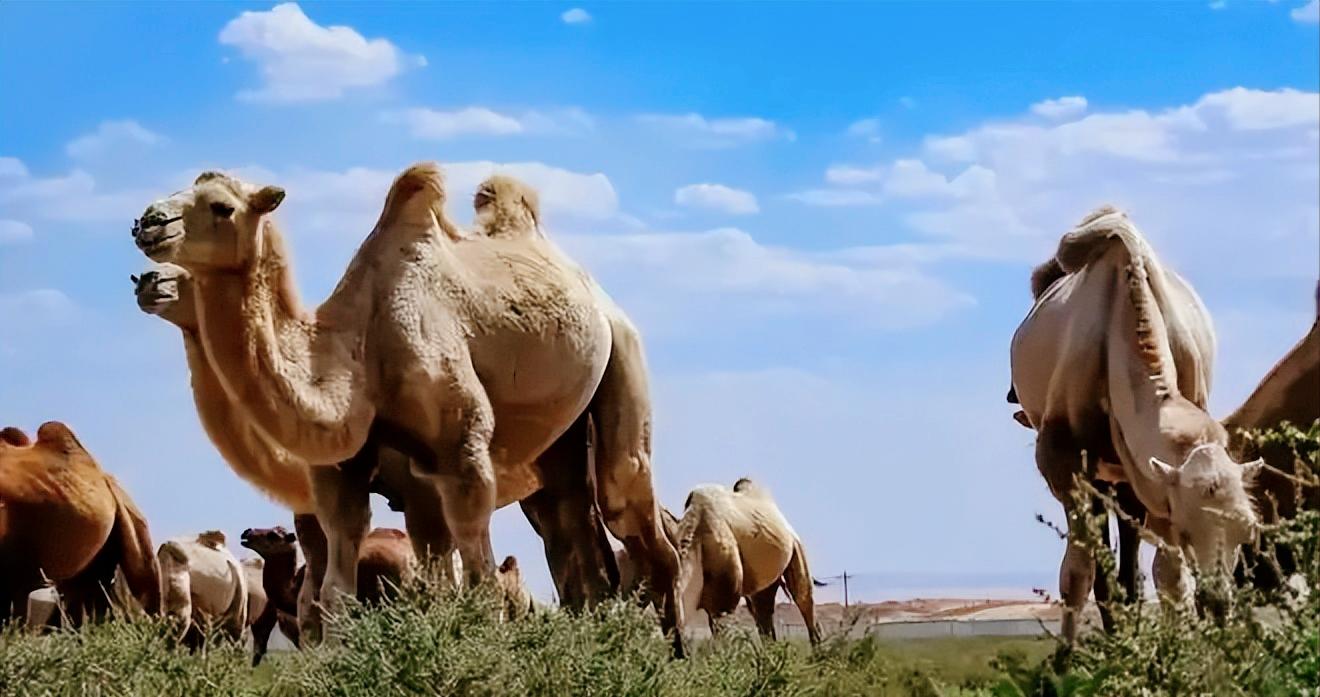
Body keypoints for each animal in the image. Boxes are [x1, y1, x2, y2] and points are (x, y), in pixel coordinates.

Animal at [131, 163, 681, 651]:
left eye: (222, 207)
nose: (147, 223)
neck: (361, 353)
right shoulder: (344, 475)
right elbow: (334, 595)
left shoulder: (460, 458)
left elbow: (477, 588)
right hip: (557, 452)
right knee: (579, 558)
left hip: (624, 364)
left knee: (638, 521)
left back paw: (671, 658)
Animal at [1010, 207, 1262, 645]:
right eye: (1187, 530)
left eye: (1247, 531)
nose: (1217, 605)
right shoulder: (1063, 462)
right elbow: (1081, 573)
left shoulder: (1146, 478)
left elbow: (1162, 576)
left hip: (1120, 476)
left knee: (1133, 571)